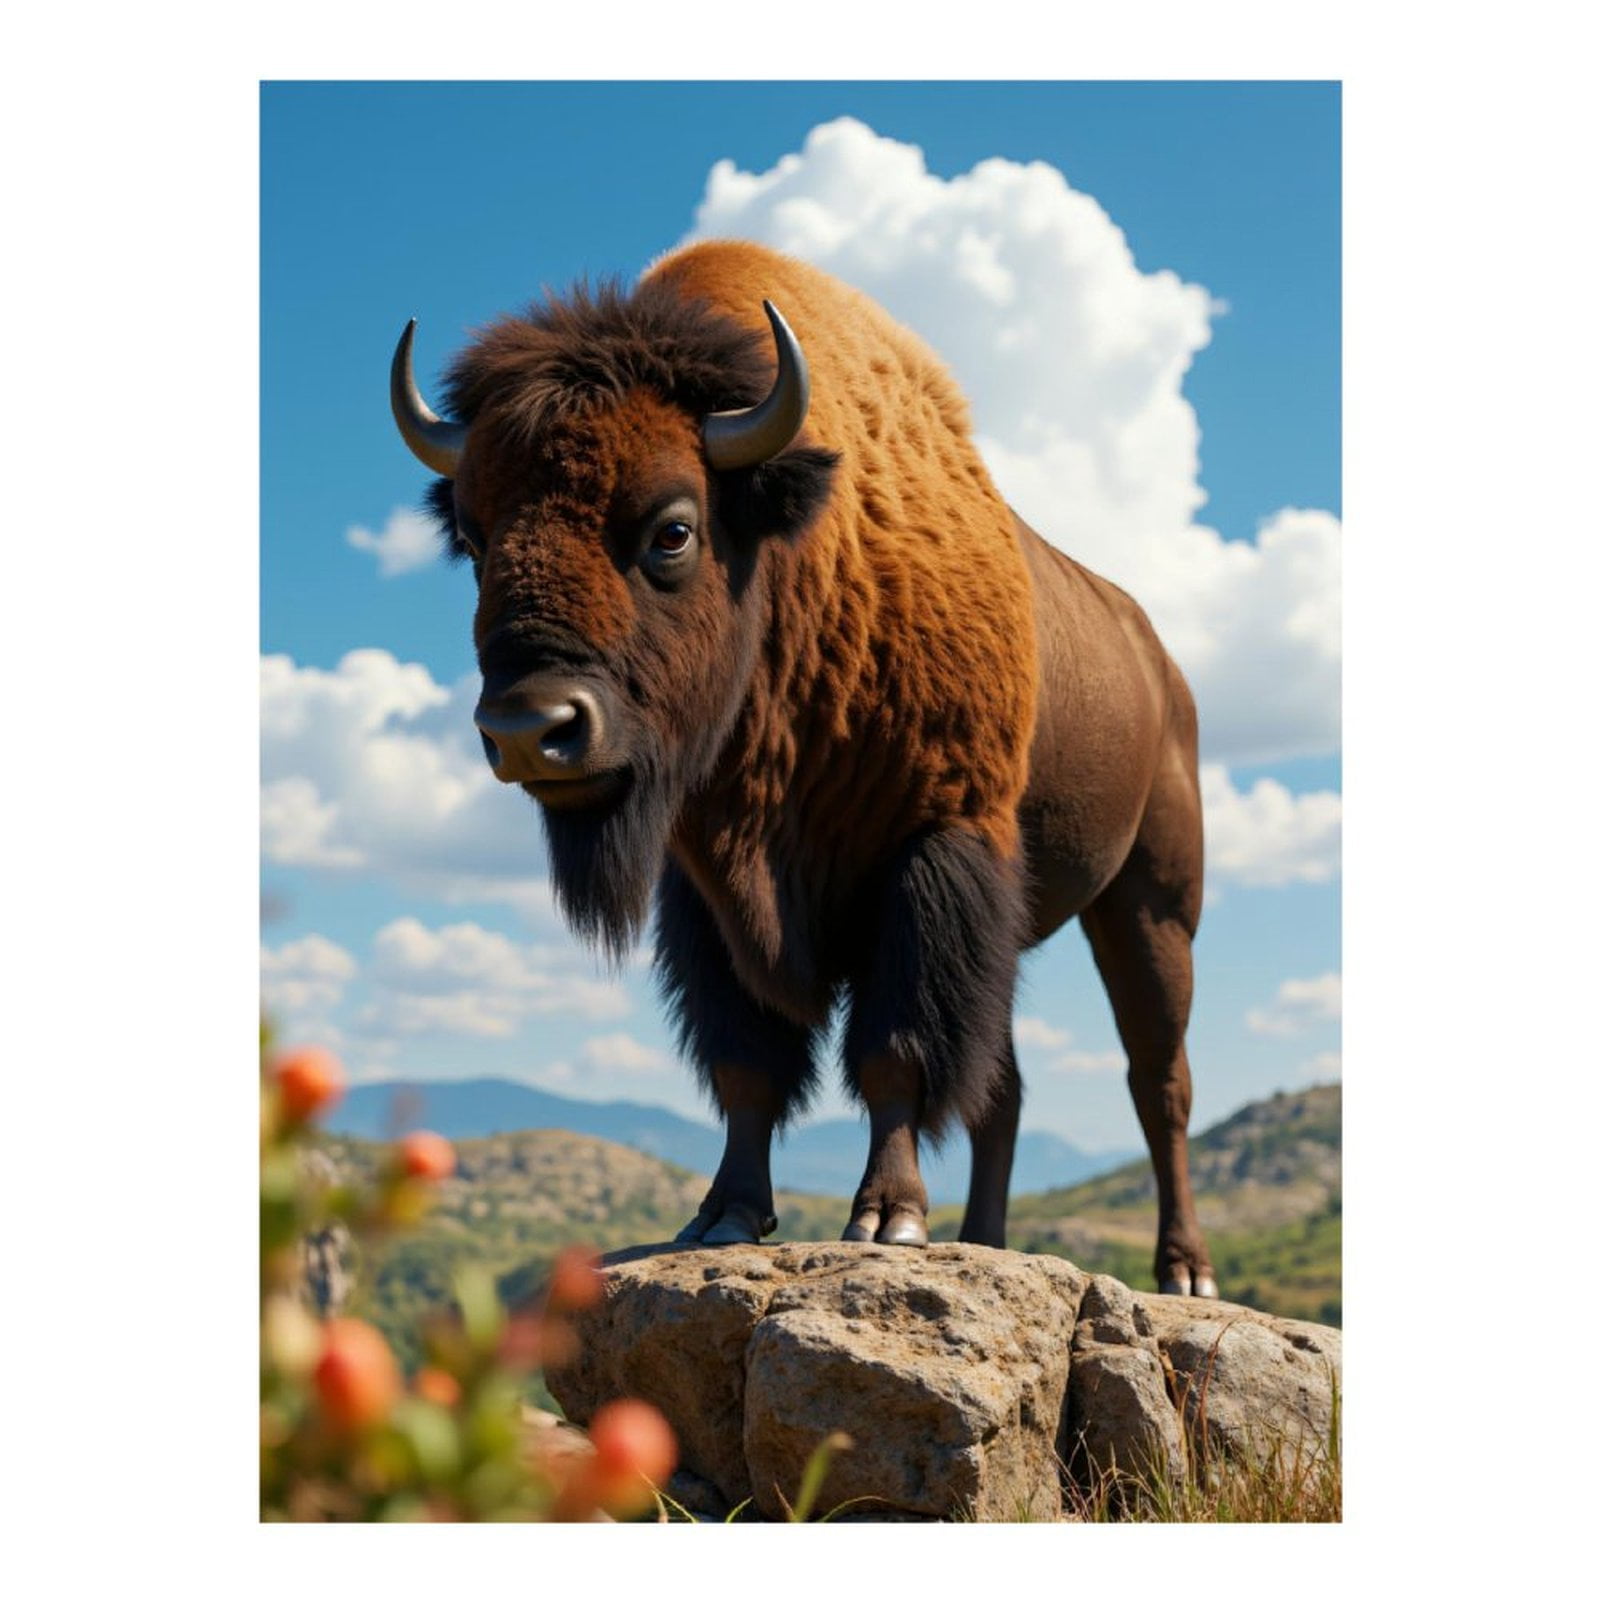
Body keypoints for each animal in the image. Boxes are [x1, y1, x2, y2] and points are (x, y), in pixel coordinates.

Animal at [389, 240, 1217, 1296]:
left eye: (672, 528)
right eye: (475, 534)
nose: (531, 730)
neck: (795, 564)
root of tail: (1163, 665)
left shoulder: (929, 855)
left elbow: (894, 1052)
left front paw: (889, 1219)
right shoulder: (706, 895)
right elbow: (749, 1062)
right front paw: (724, 1216)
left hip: (1150, 909)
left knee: (1160, 1081)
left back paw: (1184, 1272)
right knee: (1007, 1089)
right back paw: (986, 1239)